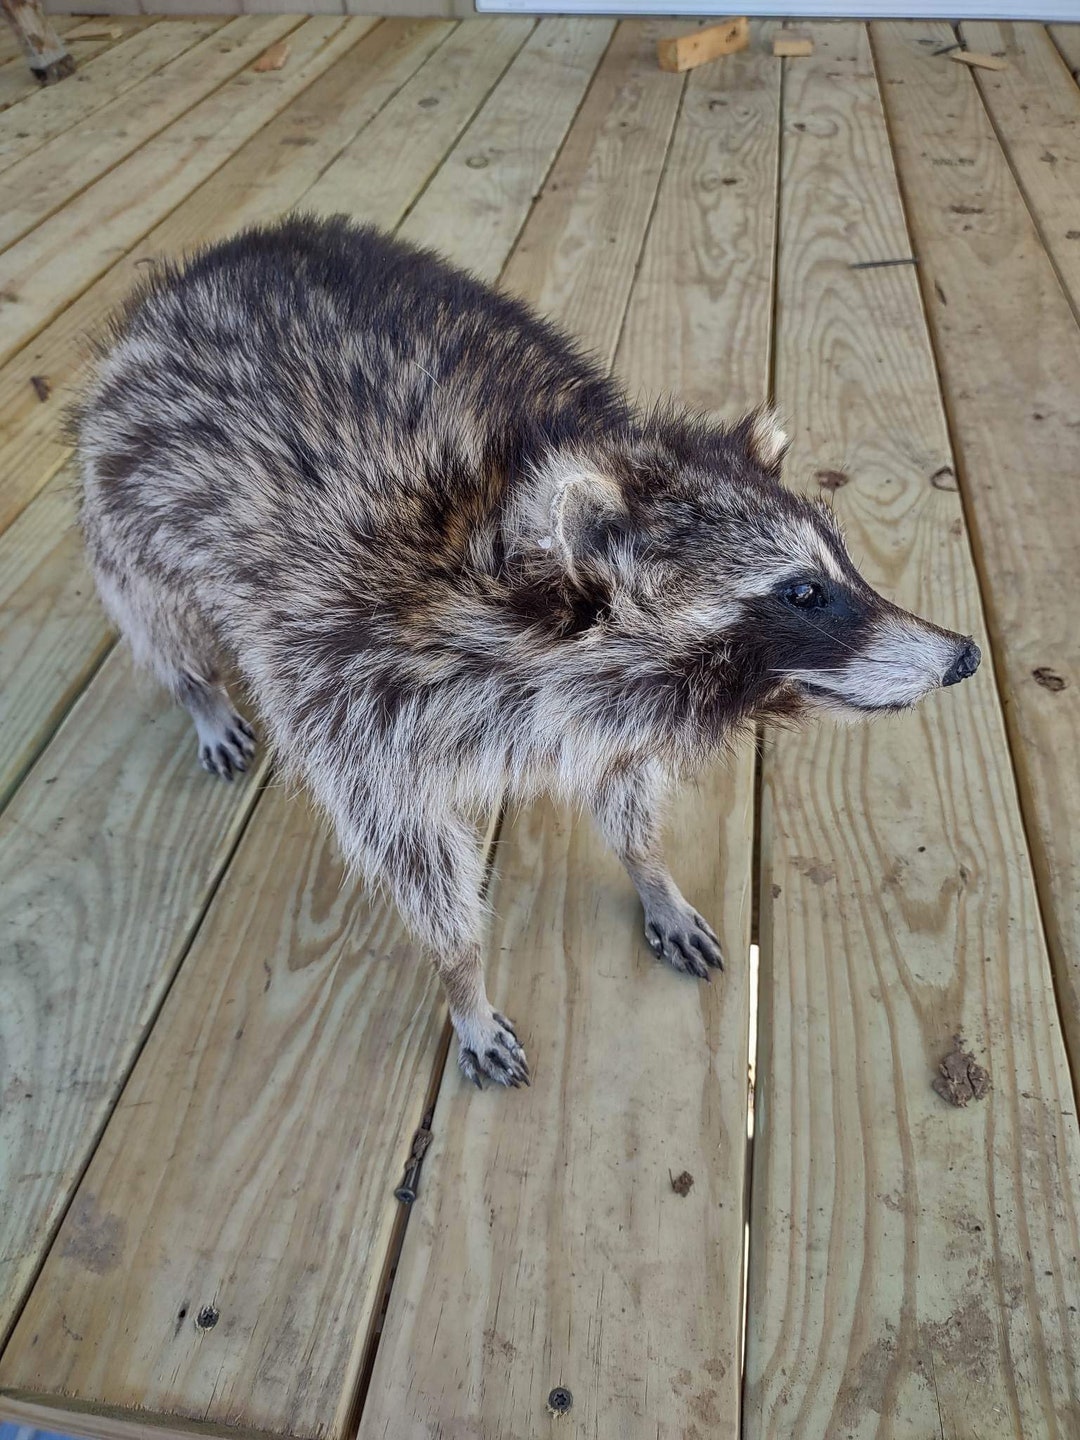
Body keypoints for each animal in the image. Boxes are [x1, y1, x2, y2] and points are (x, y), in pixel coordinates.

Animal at [77, 216, 980, 1089]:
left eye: (842, 565)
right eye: (802, 592)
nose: (962, 656)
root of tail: (220, 260)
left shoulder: (604, 712)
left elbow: (624, 786)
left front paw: (649, 869)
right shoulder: (349, 680)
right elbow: (410, 850)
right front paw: (462, 980)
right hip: (130, 489)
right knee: (156, 608)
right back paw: (197, 688)